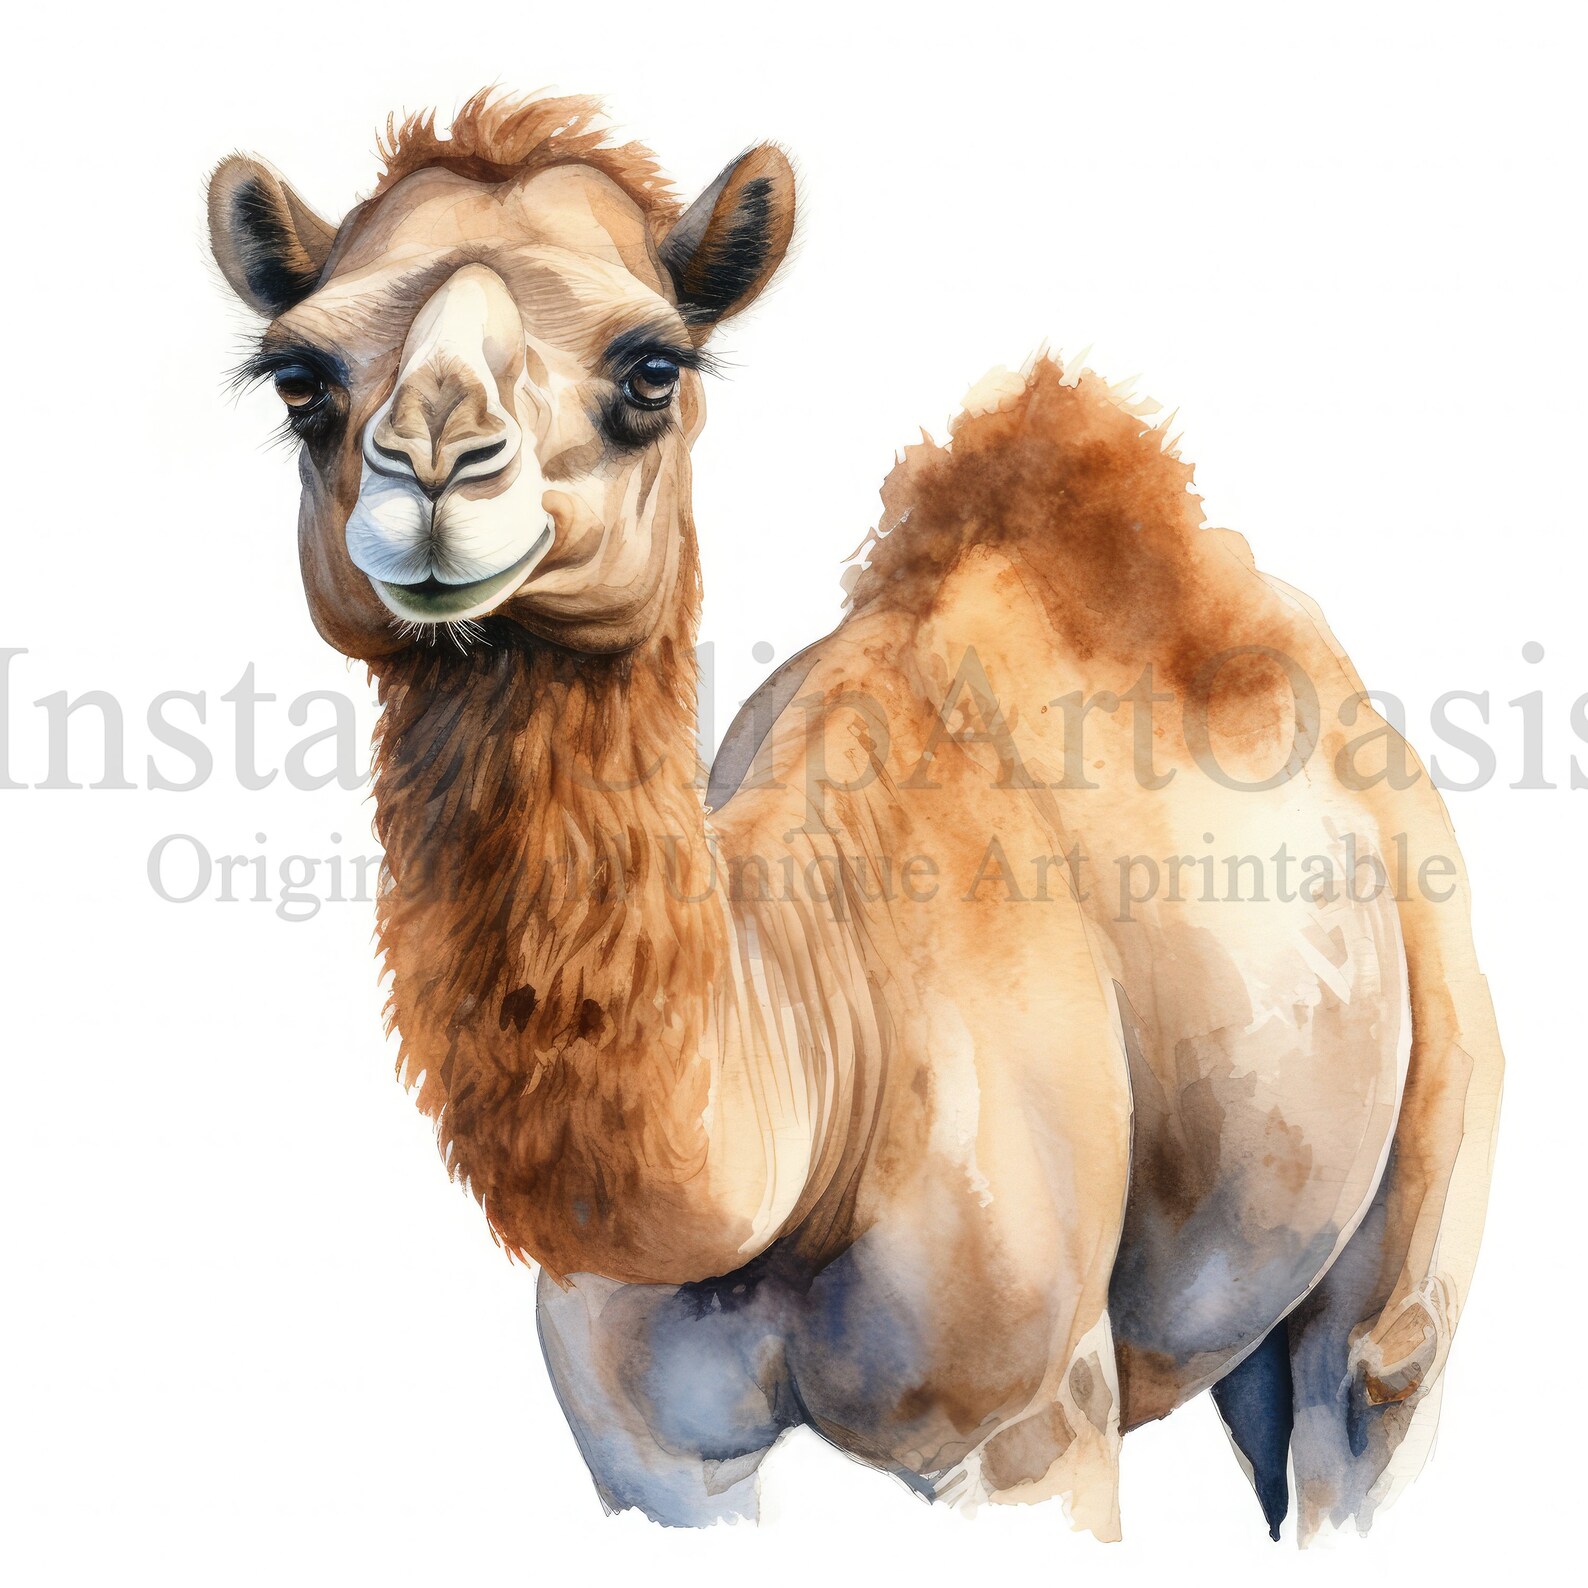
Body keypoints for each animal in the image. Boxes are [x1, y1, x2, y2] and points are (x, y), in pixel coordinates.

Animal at [208, 91, 1502, 1541]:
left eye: (652, 368)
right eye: (300, 380)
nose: (437, 470)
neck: (811, 1095)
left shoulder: (1032, 1427)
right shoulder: (650, 1461)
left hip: (1420, 1158)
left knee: (1370, 1381)